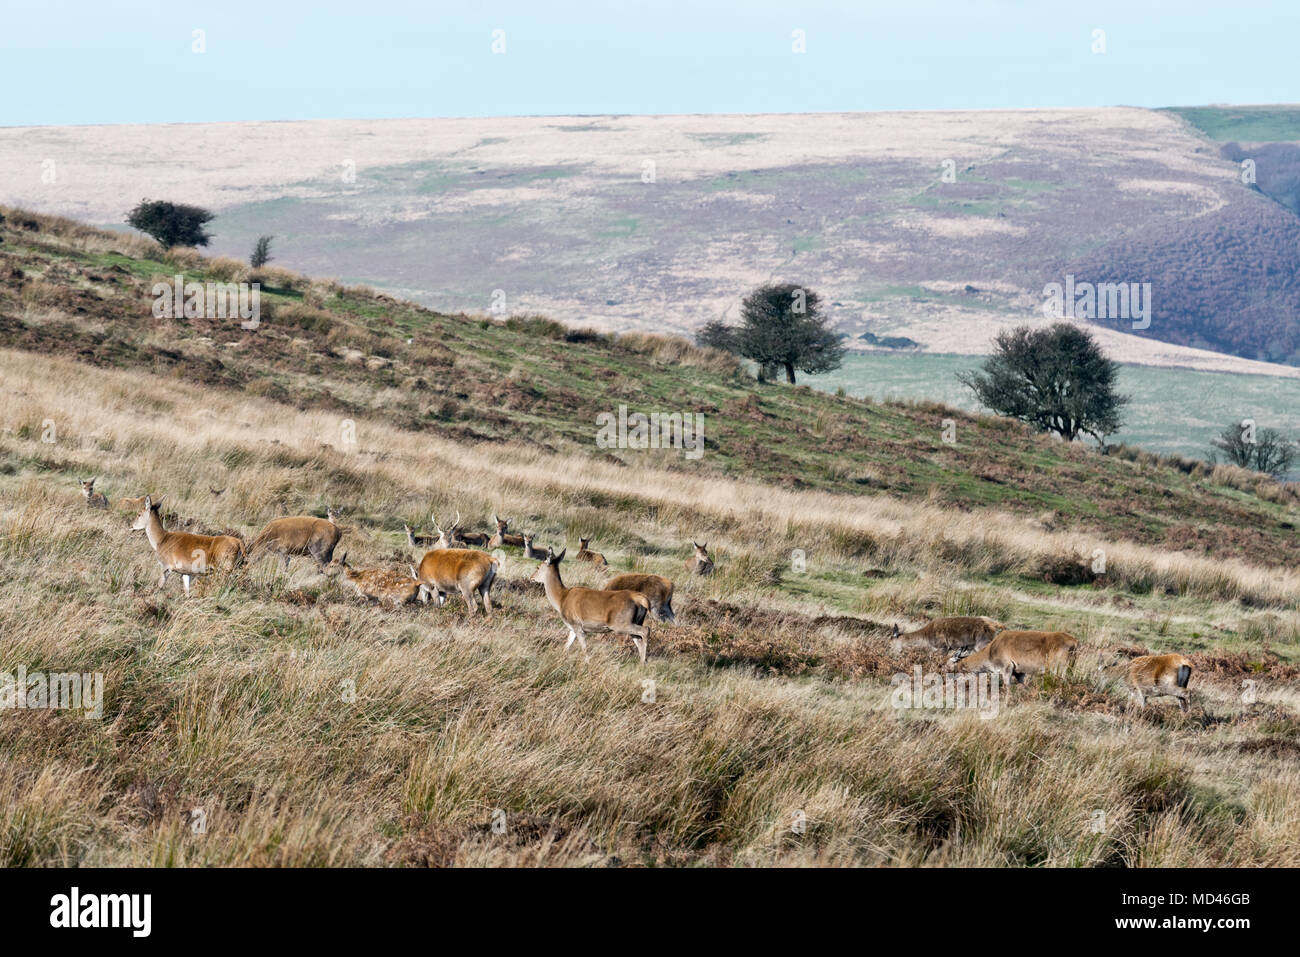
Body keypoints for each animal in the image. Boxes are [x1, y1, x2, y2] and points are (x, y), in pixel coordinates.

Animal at [946, 630, 1078, 685]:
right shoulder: (1019, 672)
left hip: (1059, 669)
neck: (990, 652)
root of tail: (1075, 642)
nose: (945, 677)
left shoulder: (1007, 668)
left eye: (947, 665)